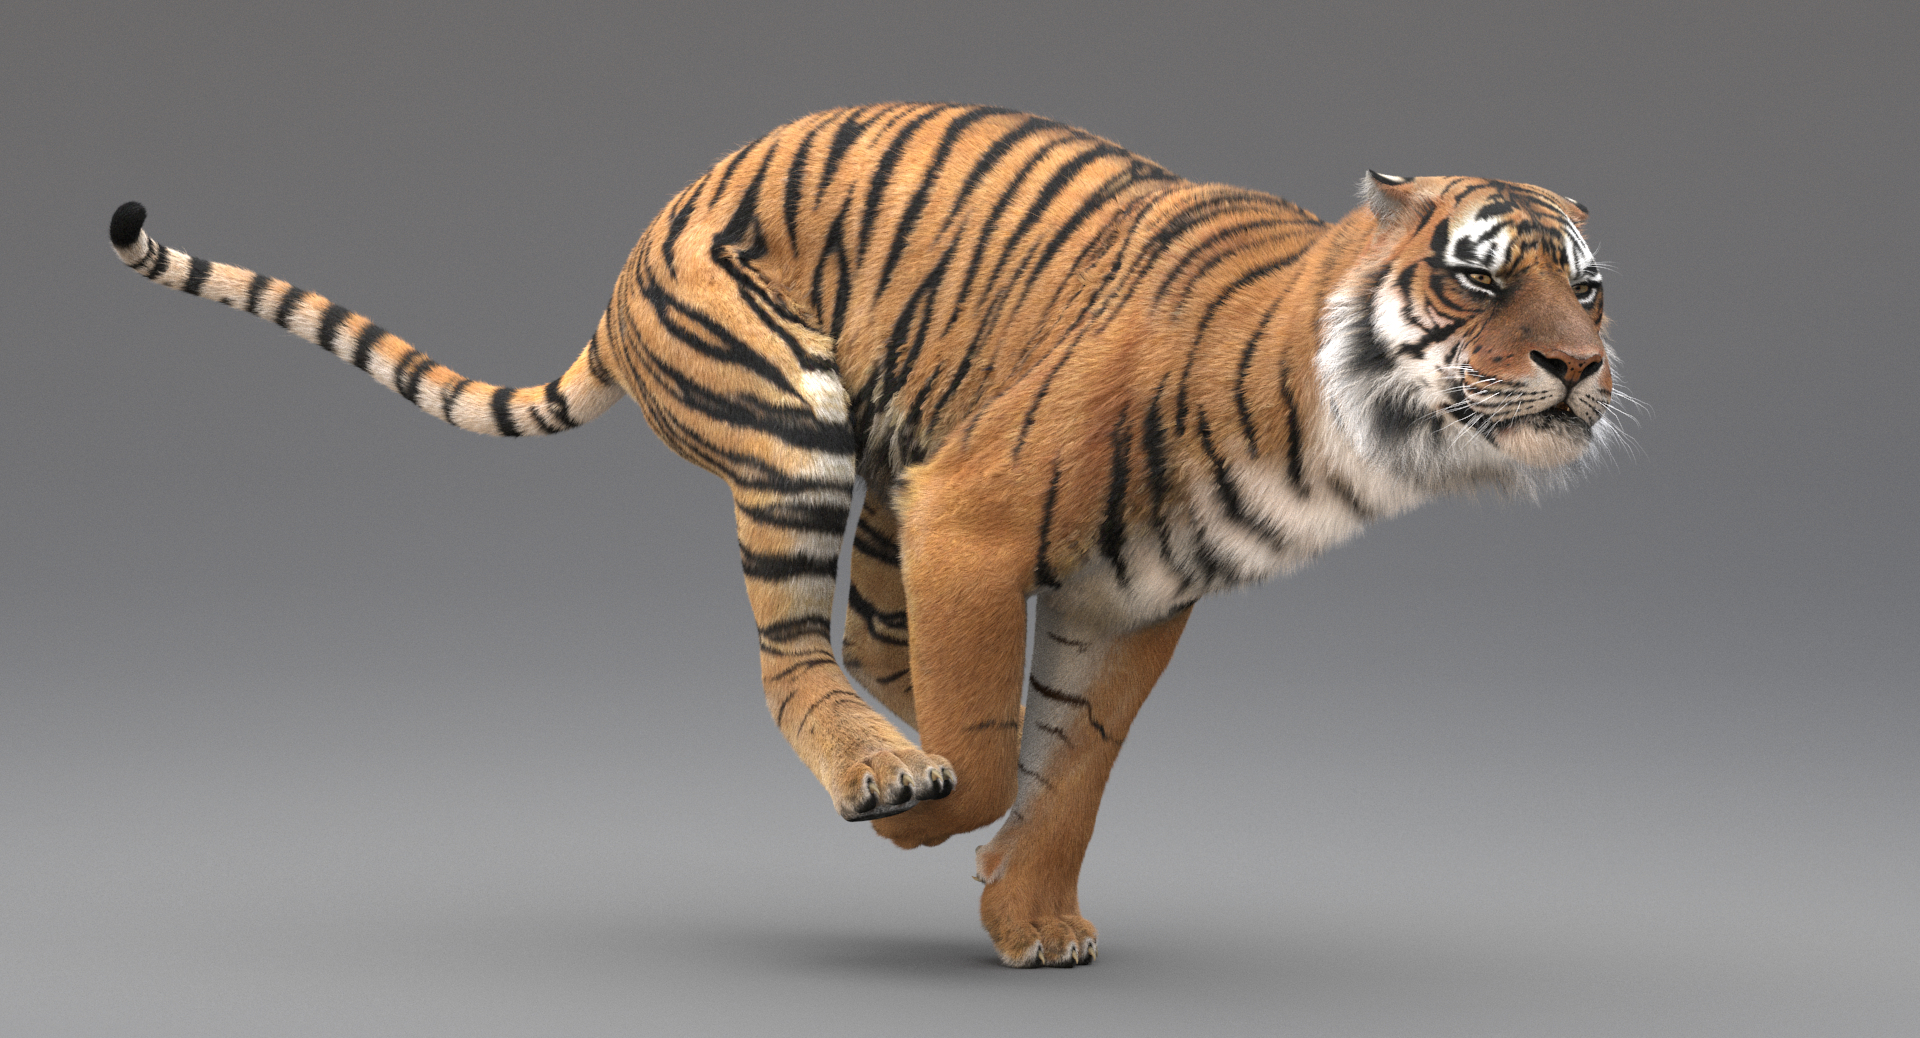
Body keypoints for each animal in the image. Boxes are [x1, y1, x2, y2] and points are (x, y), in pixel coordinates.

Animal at [108, 102, 1619, 968]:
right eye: (1482, 279)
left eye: (1590, 289)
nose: (1582, 369)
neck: (1338, 454)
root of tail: (633, 255)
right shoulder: (981, 515)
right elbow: (1000, 748)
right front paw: (935, 823)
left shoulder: (1131, 595)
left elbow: (1078, 763)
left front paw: (1026, 912)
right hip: (797, 432)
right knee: (794, 655)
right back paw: (886, 767)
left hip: (895, 474)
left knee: (872, 647)